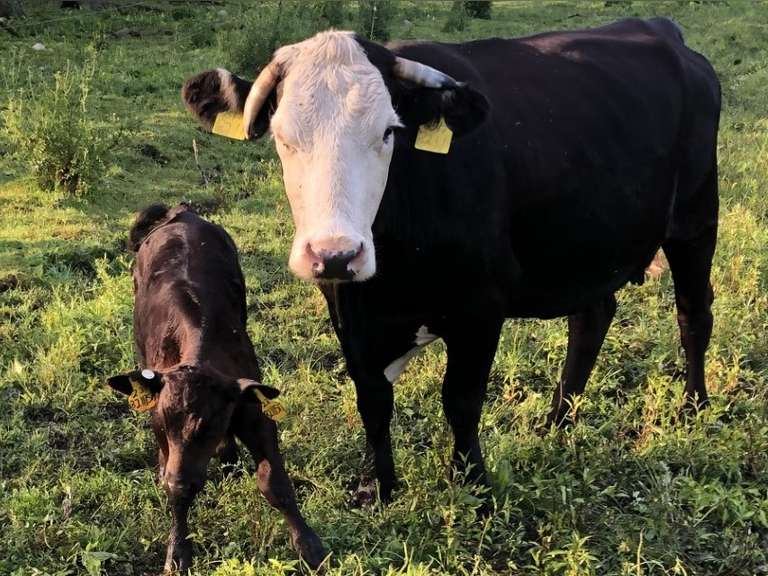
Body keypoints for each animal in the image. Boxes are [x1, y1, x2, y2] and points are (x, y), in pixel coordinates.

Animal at [107, 204, 325, 572]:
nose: (177, 480)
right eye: (162, 425)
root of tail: (180, 212)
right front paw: (177, 551)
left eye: (208, 426)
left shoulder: (256, 415)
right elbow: (176, 493)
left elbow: (275, 484)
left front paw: (309, 546)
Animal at [182, 18, 721, 506]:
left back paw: (694, 408)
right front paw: (376, 486)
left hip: (696, 219)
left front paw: (472, 483)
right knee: (591, 318)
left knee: (693, 313)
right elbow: (372, 400)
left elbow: (461, 399)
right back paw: (557, 420)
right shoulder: (347, 311)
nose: (336, 253)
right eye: (283, 136)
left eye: (388, 132)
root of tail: (660, 28)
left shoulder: (480, 309)